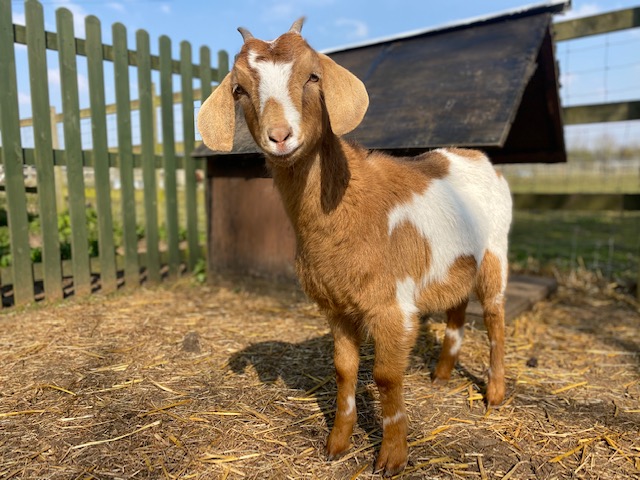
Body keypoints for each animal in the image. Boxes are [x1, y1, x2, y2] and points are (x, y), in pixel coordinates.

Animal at [198, 18, 512, 477]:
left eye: (313, 76)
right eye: (238, 89)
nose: (280, 136)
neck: (348, 200)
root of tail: (477, 157)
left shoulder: (392, 306)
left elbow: (385, 377)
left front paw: (392, 457)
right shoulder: (337, 306)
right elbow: (344, 371)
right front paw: (337, 445)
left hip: (495, 252)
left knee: (494, 318)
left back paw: (494, 394)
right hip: (454, 261)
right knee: (456, 306)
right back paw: (441, 376)